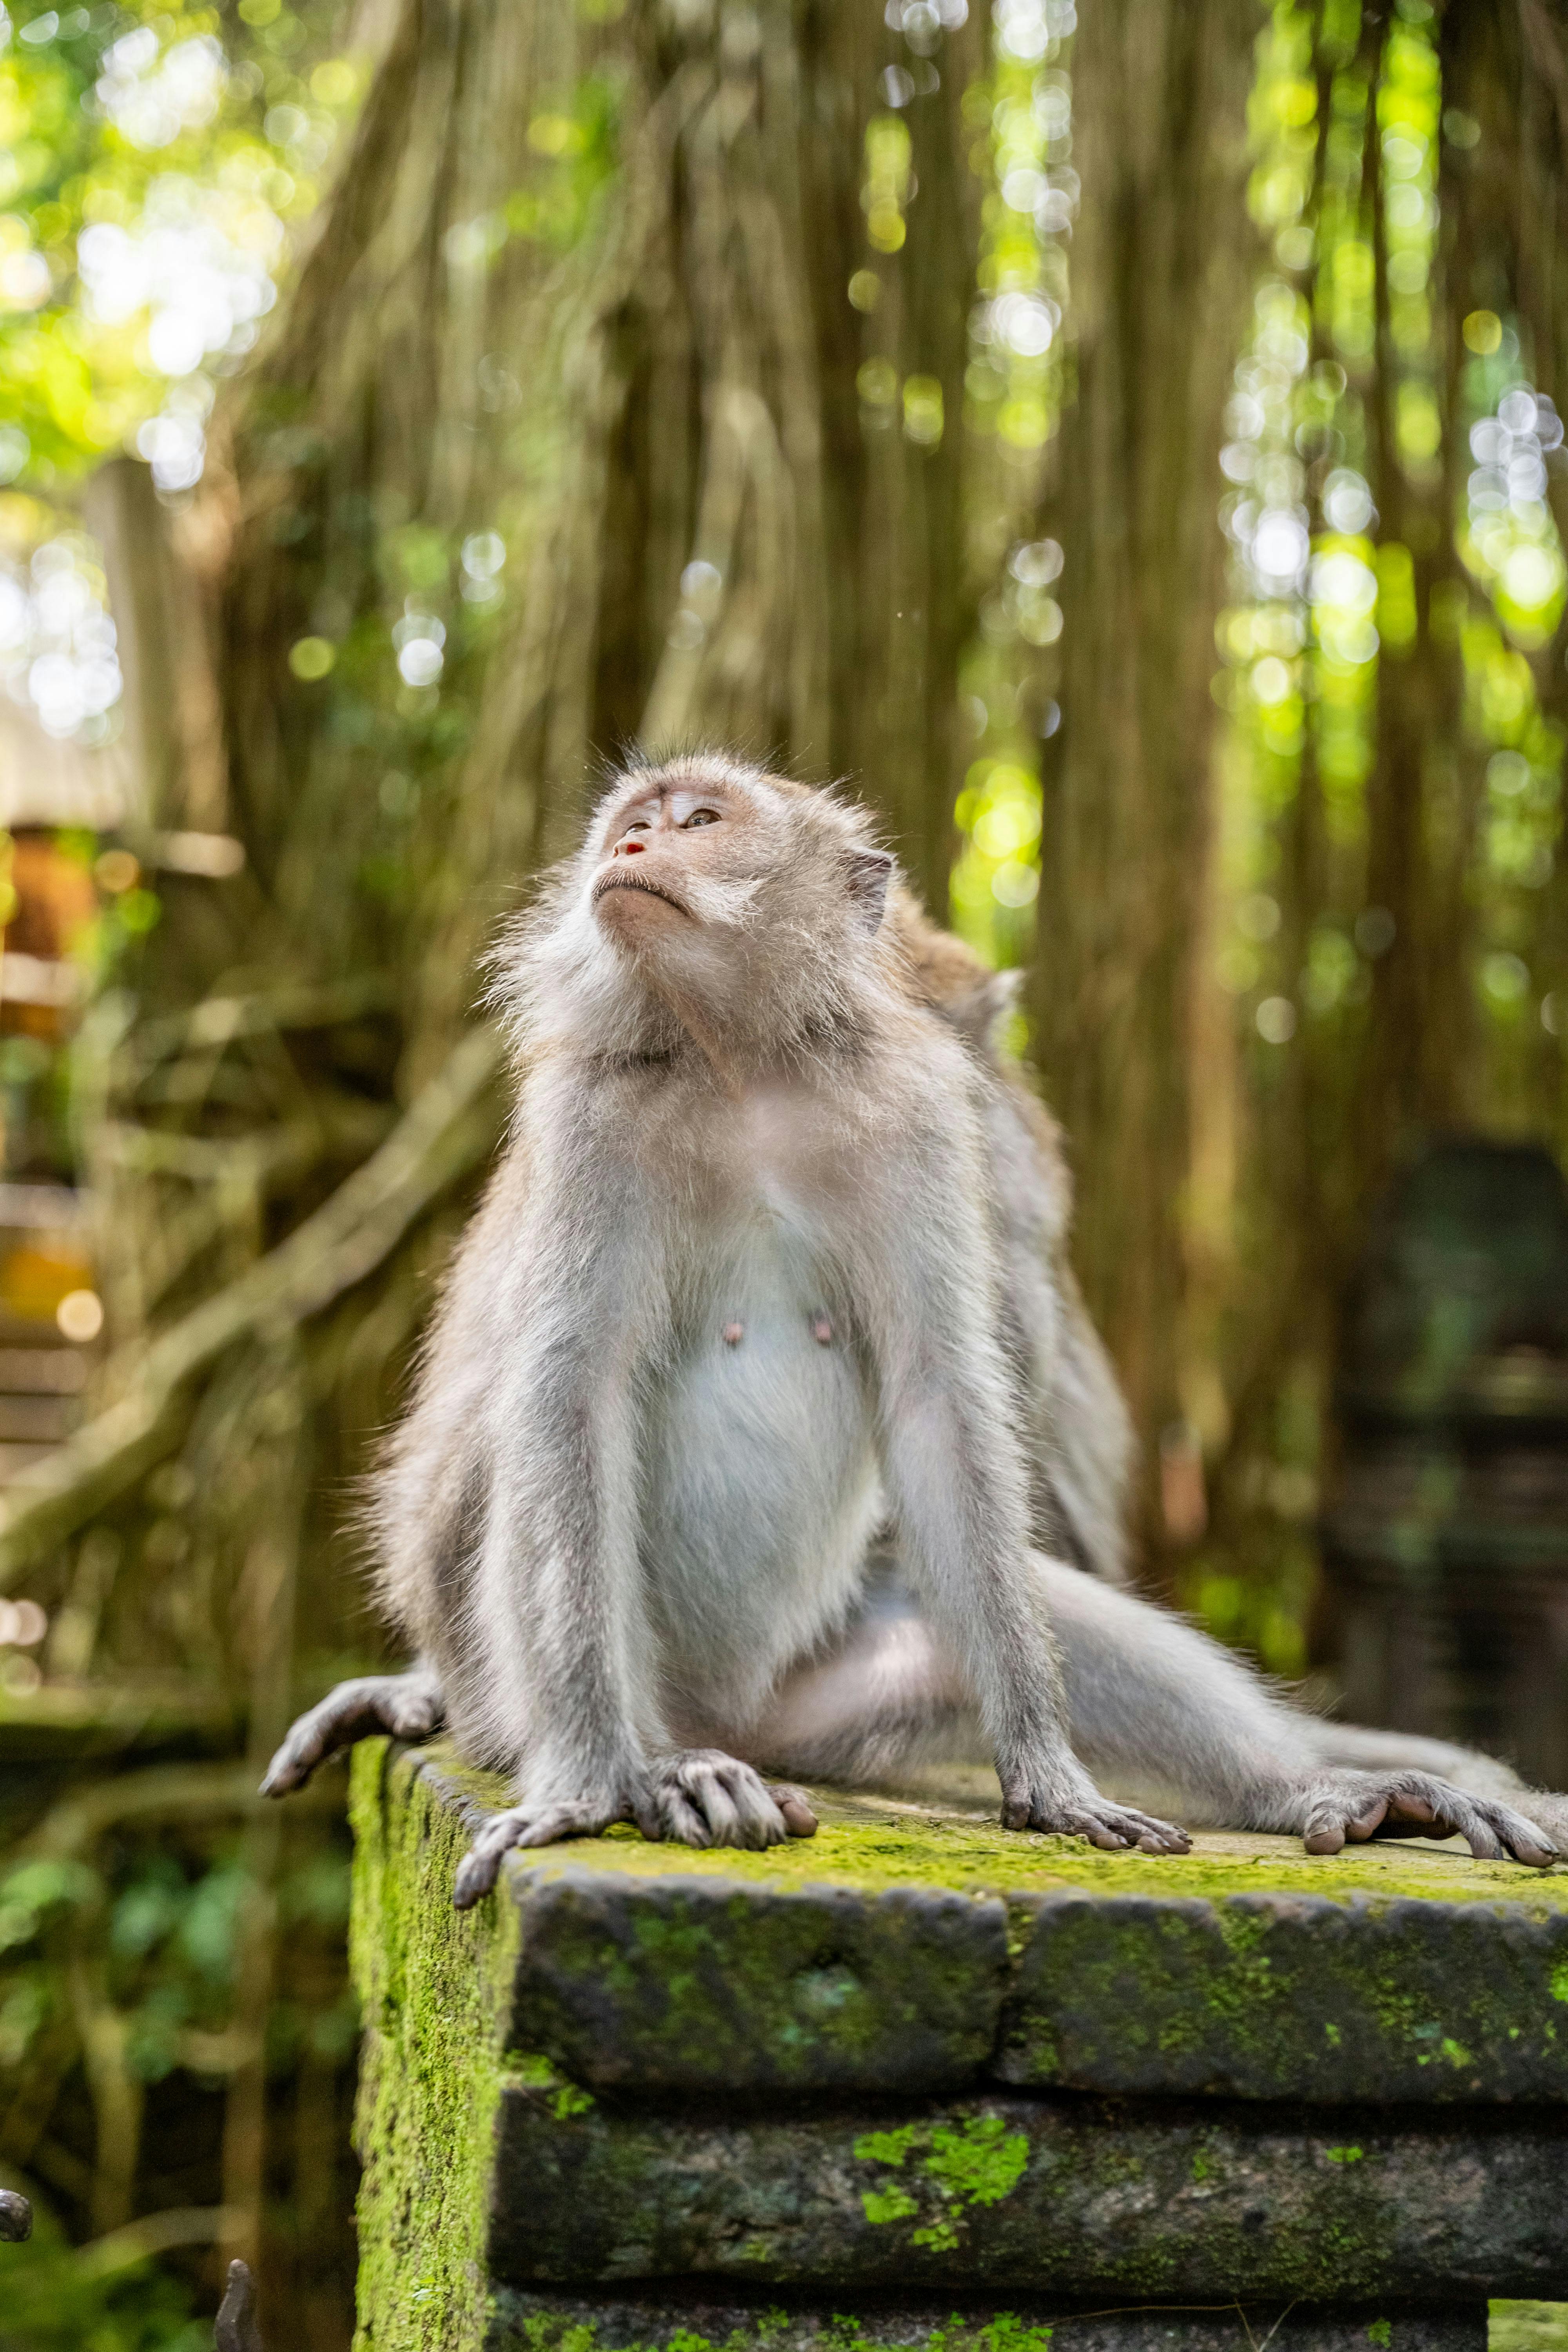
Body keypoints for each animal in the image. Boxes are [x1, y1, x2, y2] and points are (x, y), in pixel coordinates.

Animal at [262, 755, 1563, 1898]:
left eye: (698, 819)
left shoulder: (924, 1116)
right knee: (525, 1463)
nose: (629, 851)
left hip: (822, 1698)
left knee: (1025, 1613)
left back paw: (1315, 1792)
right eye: (632, 824)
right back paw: (662, 1772)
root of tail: (730, 1714)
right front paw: (585, 1788)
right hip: (568, 1686)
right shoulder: (586, 1119)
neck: (743, 1068)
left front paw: (1050, 1774)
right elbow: (569, 1401)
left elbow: (943, 1399)